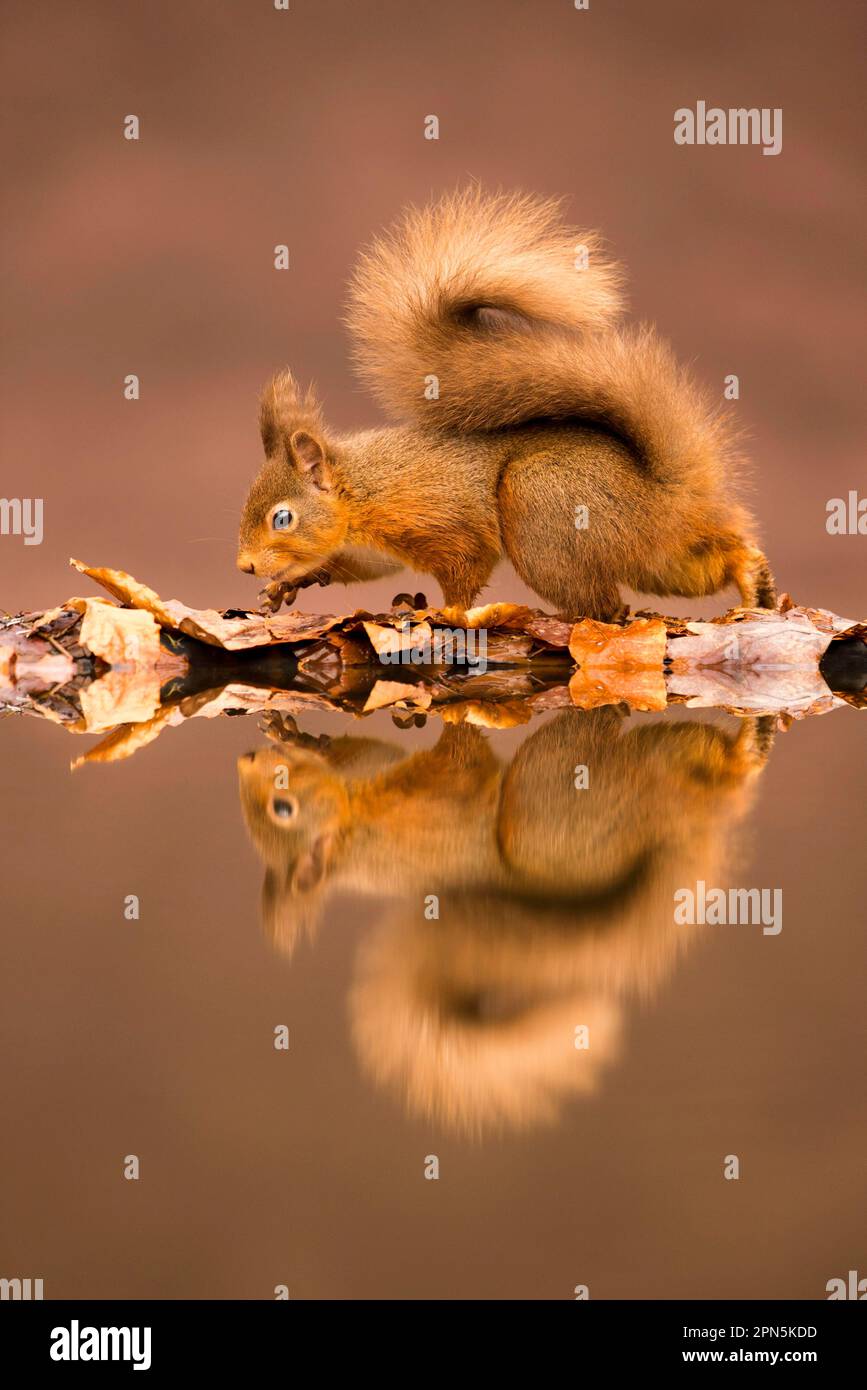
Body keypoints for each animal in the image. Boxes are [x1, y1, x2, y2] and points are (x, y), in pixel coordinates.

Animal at [237, 187, 776, 620]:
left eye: (282, 518)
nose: (244, 566)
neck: (360, 488)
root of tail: (666, 498)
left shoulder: (440, 520)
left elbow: (464, 565)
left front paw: (446, 613)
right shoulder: (371, 548)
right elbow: (359, 566)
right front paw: (289, 584)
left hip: (543, 506)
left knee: (605, 608)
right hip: (656, 560)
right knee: (698, 565)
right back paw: (754, 576)